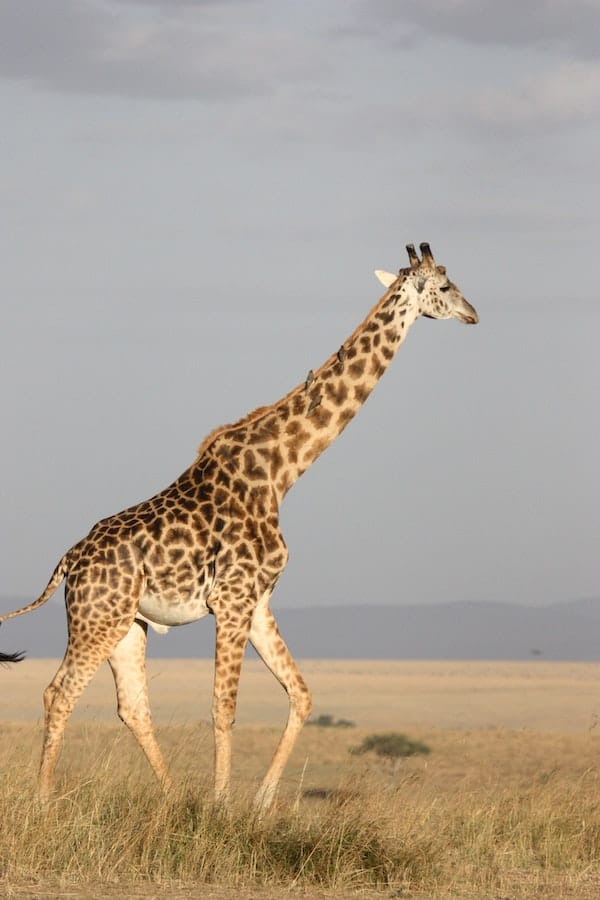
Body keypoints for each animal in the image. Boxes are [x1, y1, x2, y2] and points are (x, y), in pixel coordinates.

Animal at [0, 242, 478, 810]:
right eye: (445, 287)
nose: (473, 314)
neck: (281, 472)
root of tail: (67, 563)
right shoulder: (230, 598)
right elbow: (223, 708)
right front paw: (222, 805)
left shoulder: (258, 600)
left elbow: (301, 694)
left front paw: (261, 803)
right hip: (97, 619)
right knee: (59, 692)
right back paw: (44, 801)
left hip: (127, 624)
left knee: (132, 706)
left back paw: (173, 797)